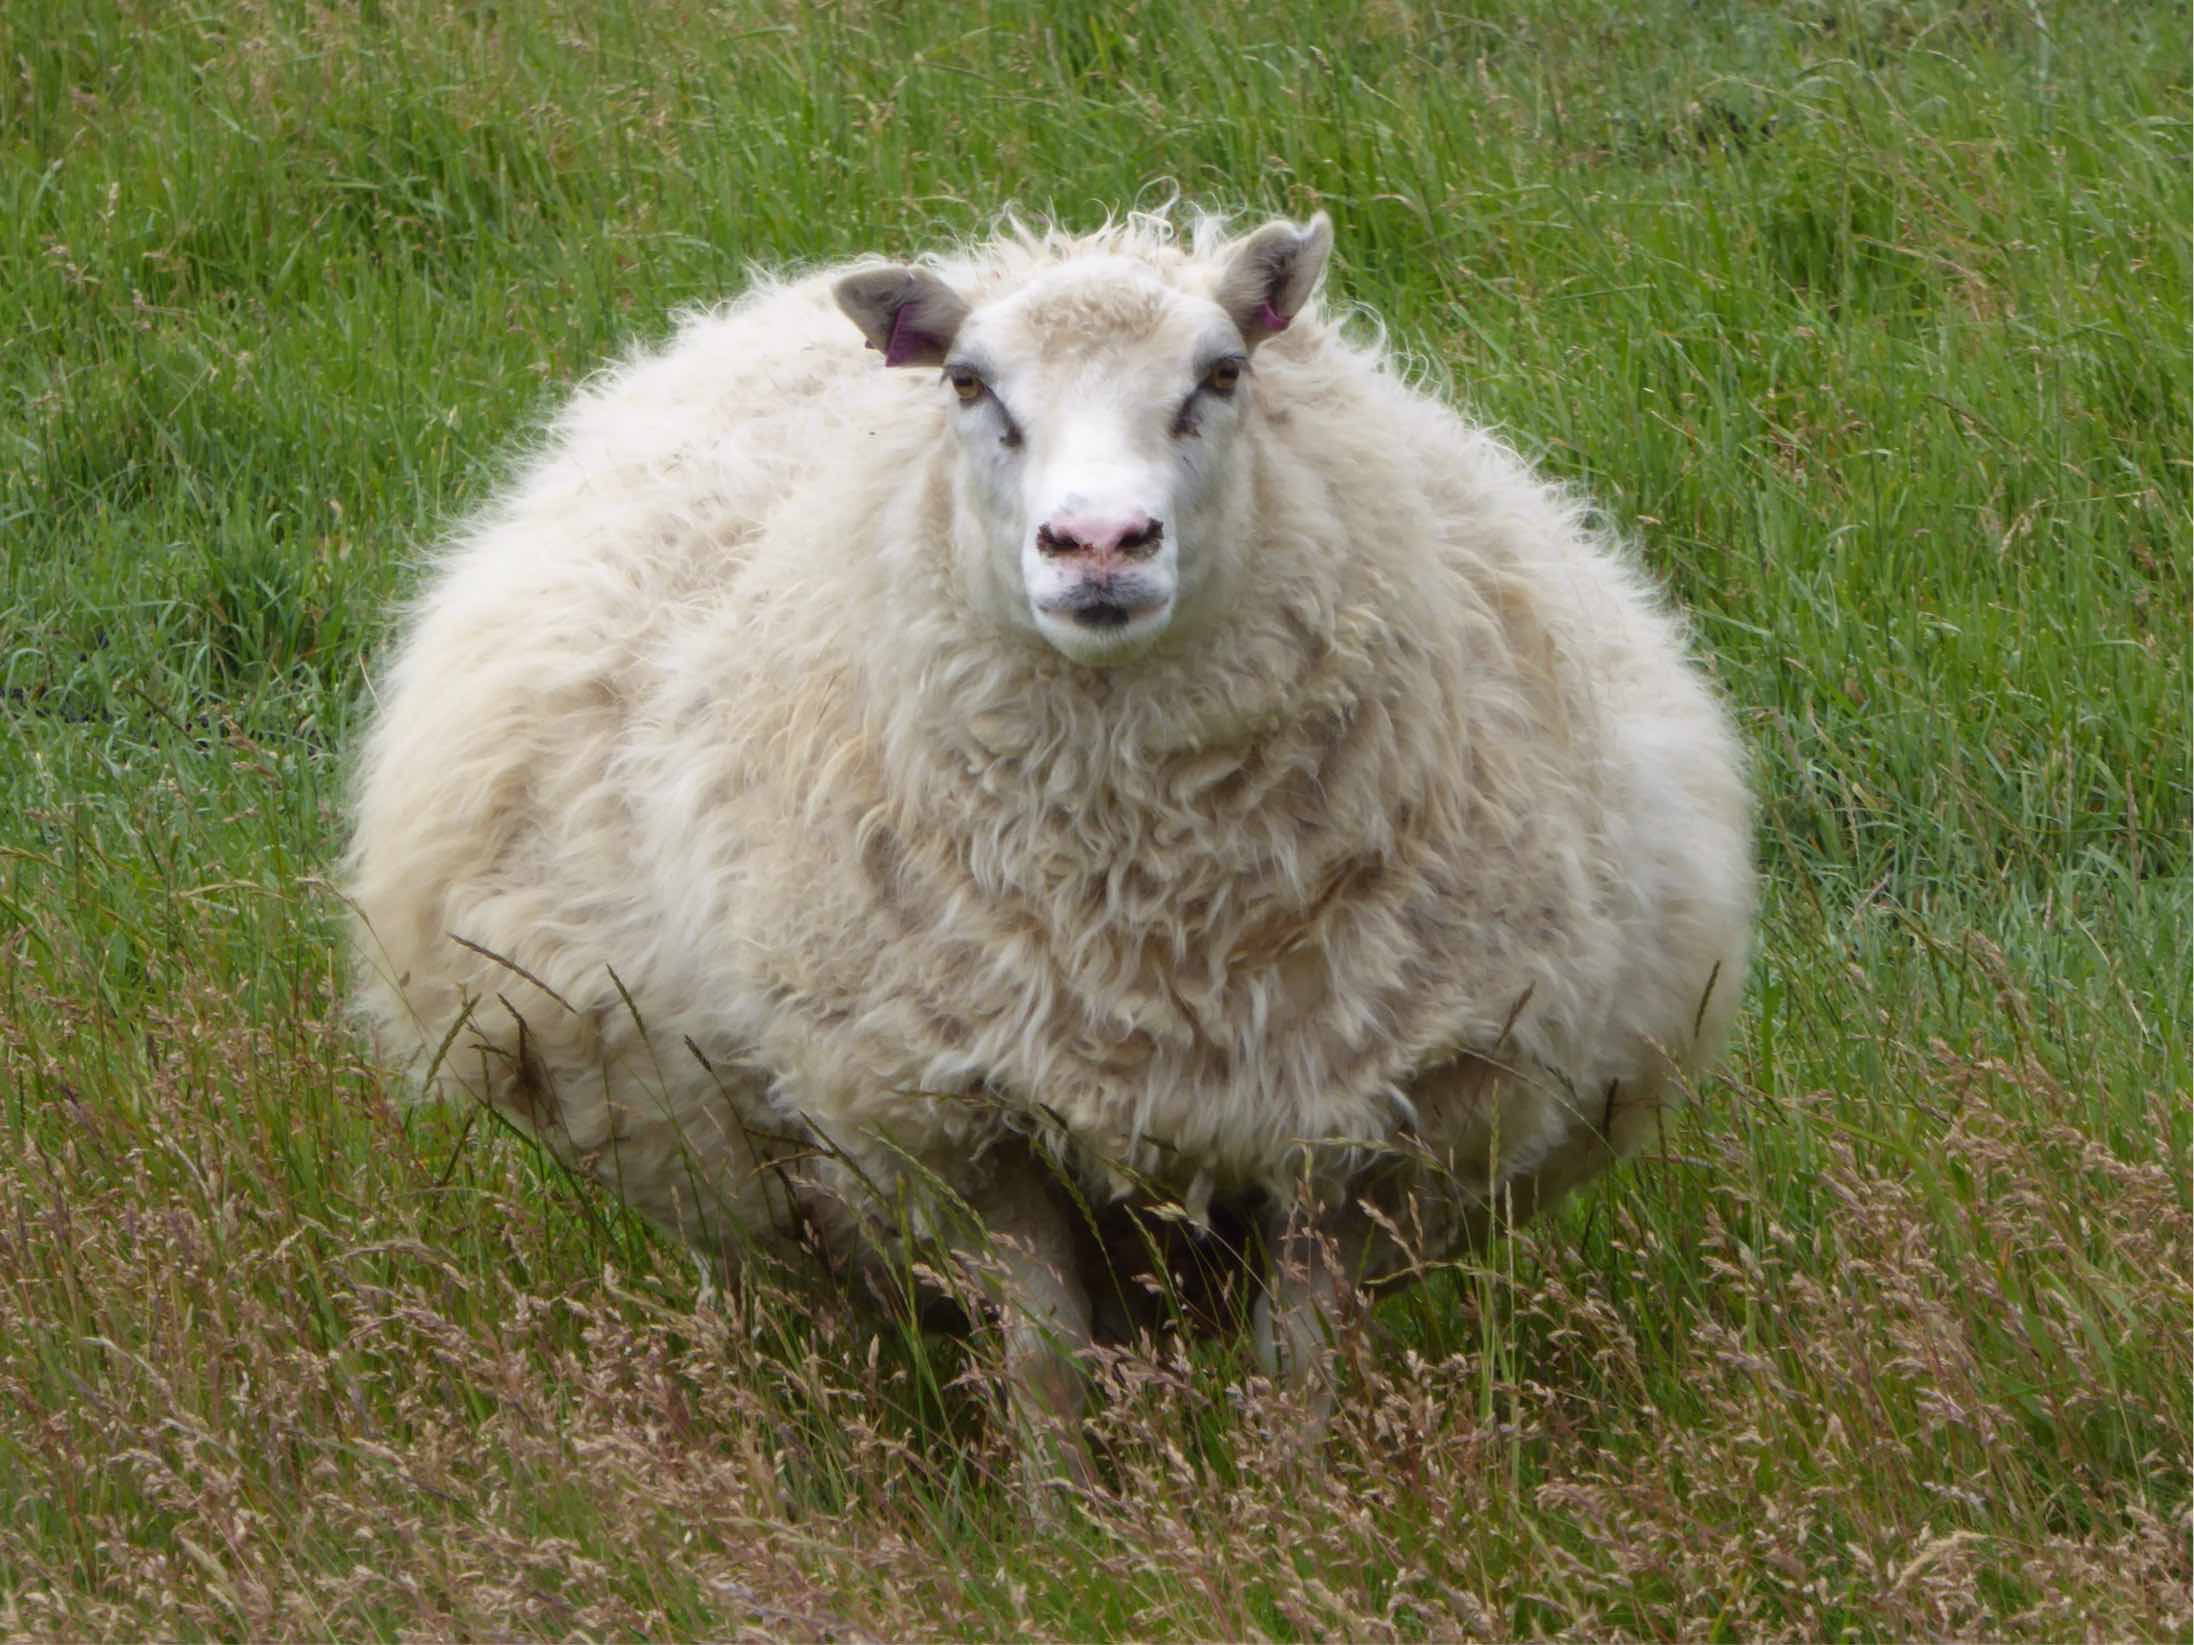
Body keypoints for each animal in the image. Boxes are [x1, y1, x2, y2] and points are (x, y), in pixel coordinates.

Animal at [345, 206, 1755, 1483]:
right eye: (970, 385)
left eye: (1221, 373)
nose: (1096, 544)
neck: (1147, 909)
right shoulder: (956, 1114)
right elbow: (1042, 1354)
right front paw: (1057, 1527)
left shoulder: (1364, 1118)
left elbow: (1298, 1363)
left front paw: (1290, 1520)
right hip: (707, 1135)